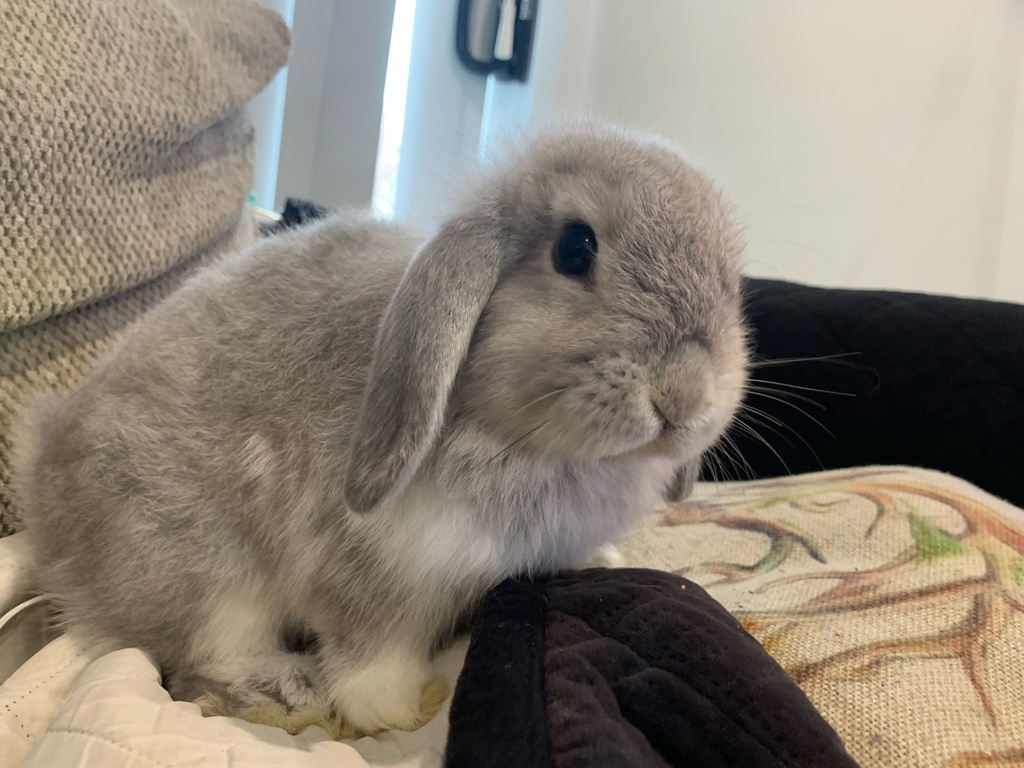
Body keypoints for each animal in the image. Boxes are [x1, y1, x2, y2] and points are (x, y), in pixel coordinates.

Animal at [11, 123, 748, 734]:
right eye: (575, 248)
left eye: (733, 280)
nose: (684, 395)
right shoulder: (366, 565)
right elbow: (372, 647)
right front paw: (398, 708)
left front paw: (605, 561)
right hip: (197, 560)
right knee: (201, 647)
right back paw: (288, 690)